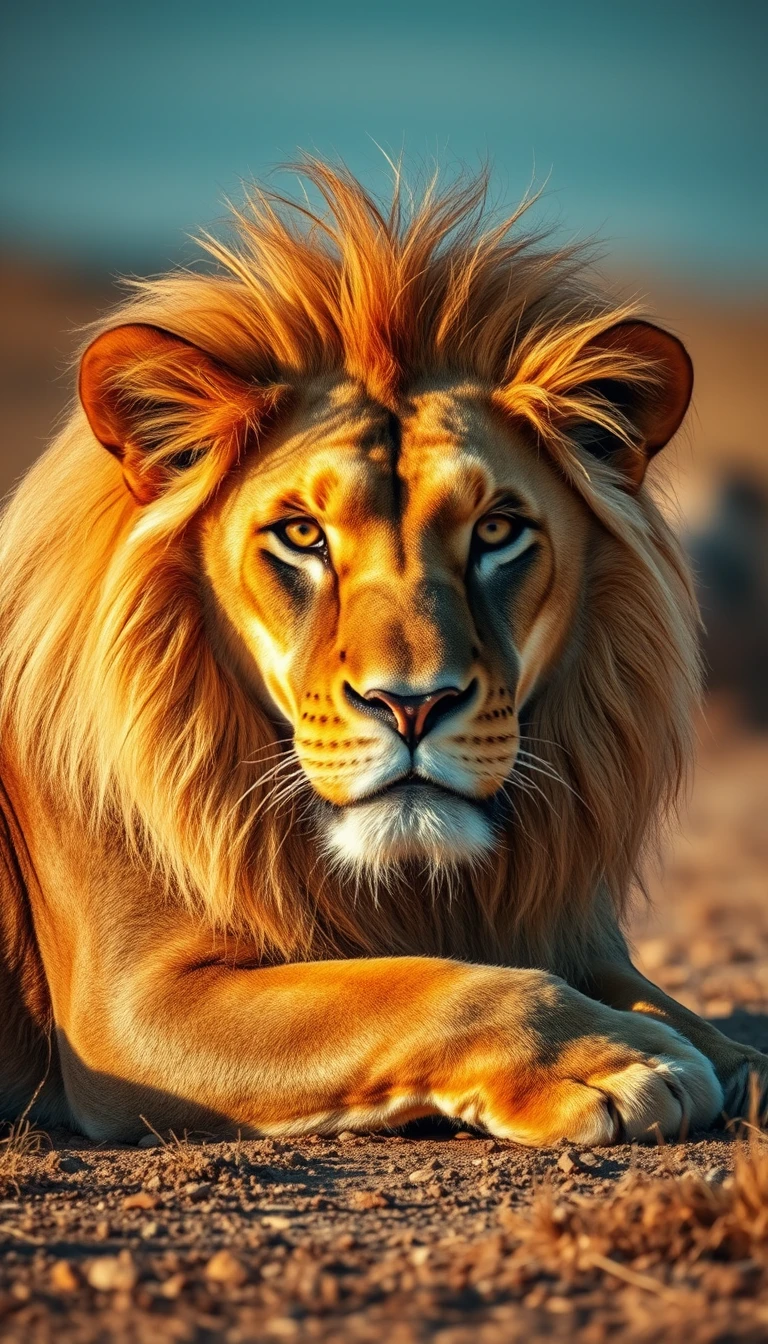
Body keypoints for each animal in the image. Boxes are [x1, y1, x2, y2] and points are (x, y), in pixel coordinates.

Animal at [0, 161, 765, 1146]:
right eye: (302, 534)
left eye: (497, 531)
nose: (413, 705)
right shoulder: (126, 1006)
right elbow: (417, 987)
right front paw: (622, 1062)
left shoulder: (560, 922)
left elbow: (683, 1014)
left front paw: (718, 1056)